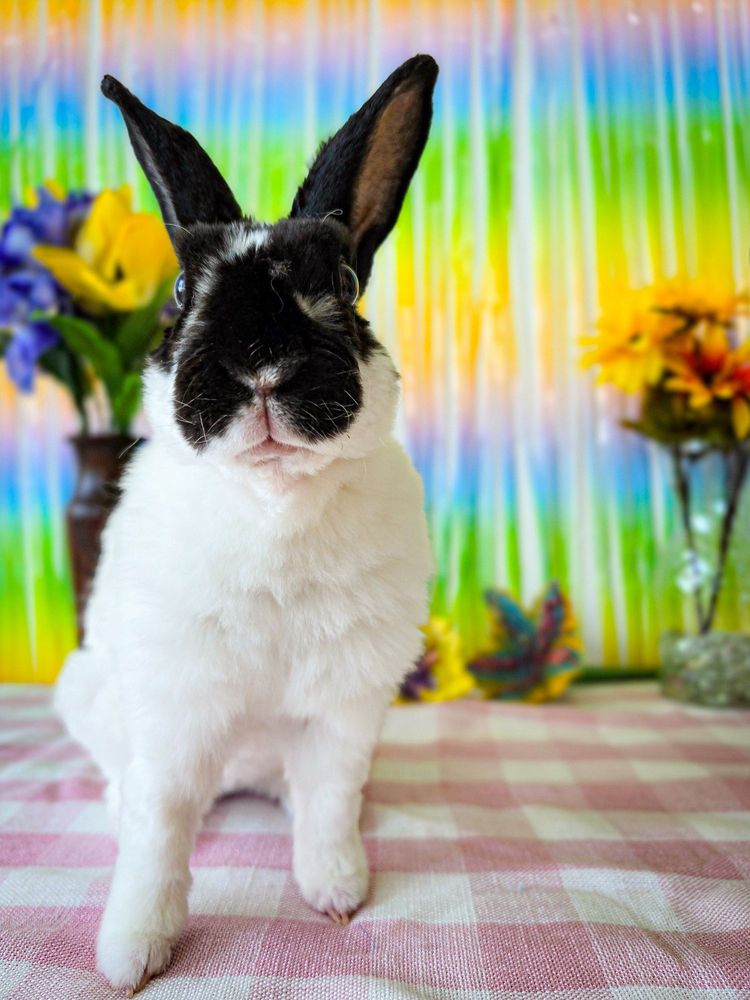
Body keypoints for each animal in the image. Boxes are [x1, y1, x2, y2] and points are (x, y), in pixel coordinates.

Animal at [54, 54, 438, 993]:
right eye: (182, 291)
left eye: (344, 287)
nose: (262, 365)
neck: (275, 503)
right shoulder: (175, 705)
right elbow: (159, 834)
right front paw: (132, 954)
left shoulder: (346, 708)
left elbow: (330, 800)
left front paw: (336, 892)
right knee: (134, 788)